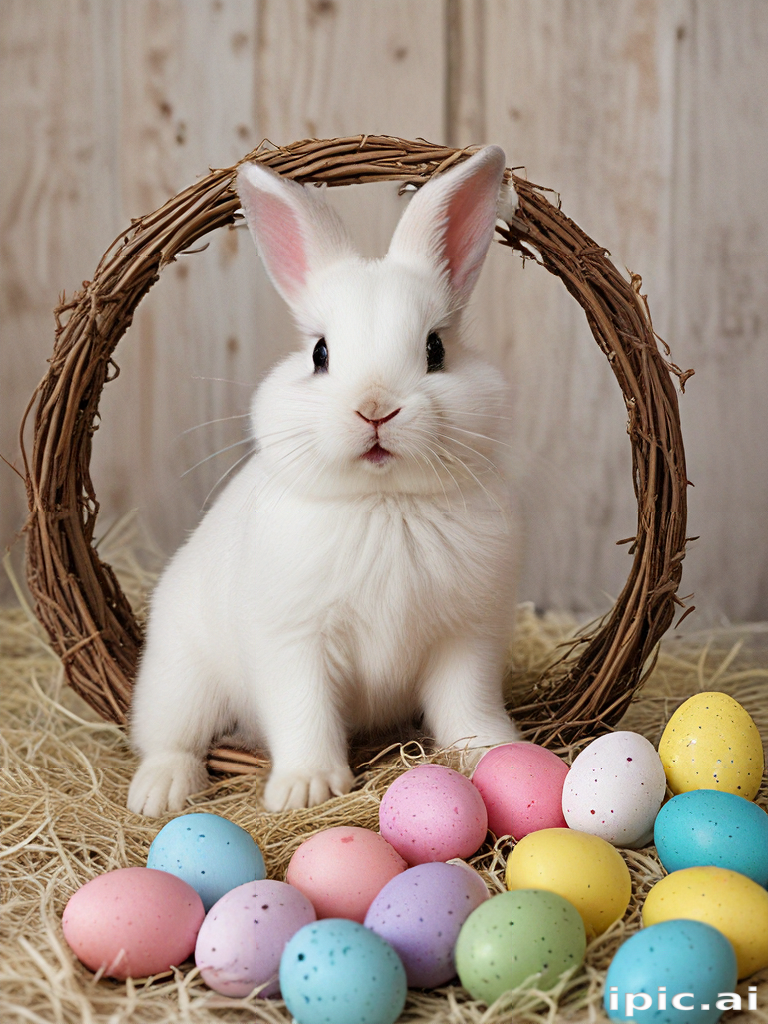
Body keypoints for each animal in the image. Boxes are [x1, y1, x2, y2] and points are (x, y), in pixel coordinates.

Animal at [127, 145, 522, 817]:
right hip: (179, 681)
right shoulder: (294, 644)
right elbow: (303, 714)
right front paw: (307, 788)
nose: (375, 409)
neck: (384, 503)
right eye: (319, 354)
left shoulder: (467, 639)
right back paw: (160, 794)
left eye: (436, 349)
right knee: (168, 738)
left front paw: (495, 753)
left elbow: (468, 708)